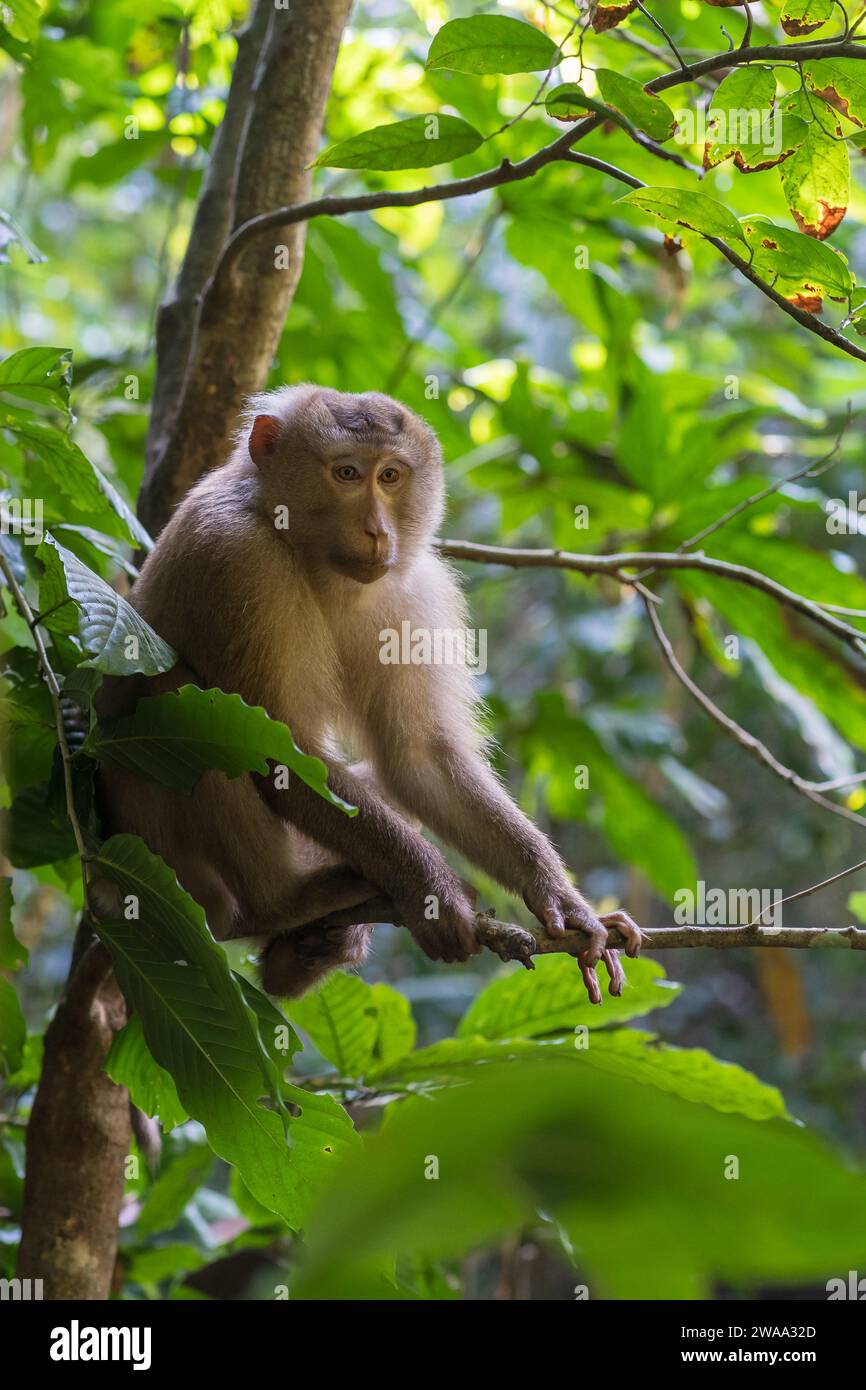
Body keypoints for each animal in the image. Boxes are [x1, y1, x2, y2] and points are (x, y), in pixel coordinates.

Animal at [95, 385, 642, 1002]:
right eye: (347, 473)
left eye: (391, 476)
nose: (378, 531)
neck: (302, 549)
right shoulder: (238, 559)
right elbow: (280, 751)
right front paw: (431, 890)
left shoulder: (413, 592)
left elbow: (418, 760)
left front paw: (561, 901)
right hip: (168, 863)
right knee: (184, 701)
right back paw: (281, 903)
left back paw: (305, 953)